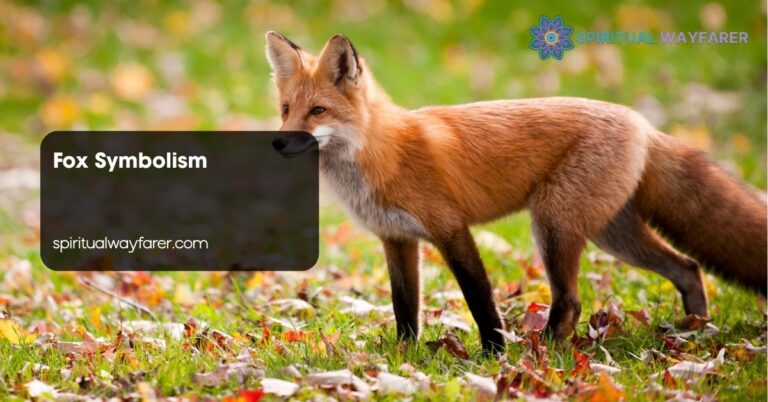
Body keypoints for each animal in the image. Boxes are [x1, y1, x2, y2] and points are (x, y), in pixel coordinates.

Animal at [265, 32, 767, 354]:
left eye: (318, 111)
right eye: (287, 109)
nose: (279, 143)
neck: (380, 153)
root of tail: (640, 121)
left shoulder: (451, 229)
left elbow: (479, 298)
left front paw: (493, 353)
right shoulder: (397, 239)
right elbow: (404, 306)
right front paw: (404, 356)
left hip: (552, 224)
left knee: (571, 302)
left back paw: (540, 353)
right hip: (612, 235)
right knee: (688, 267)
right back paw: (693, 329)